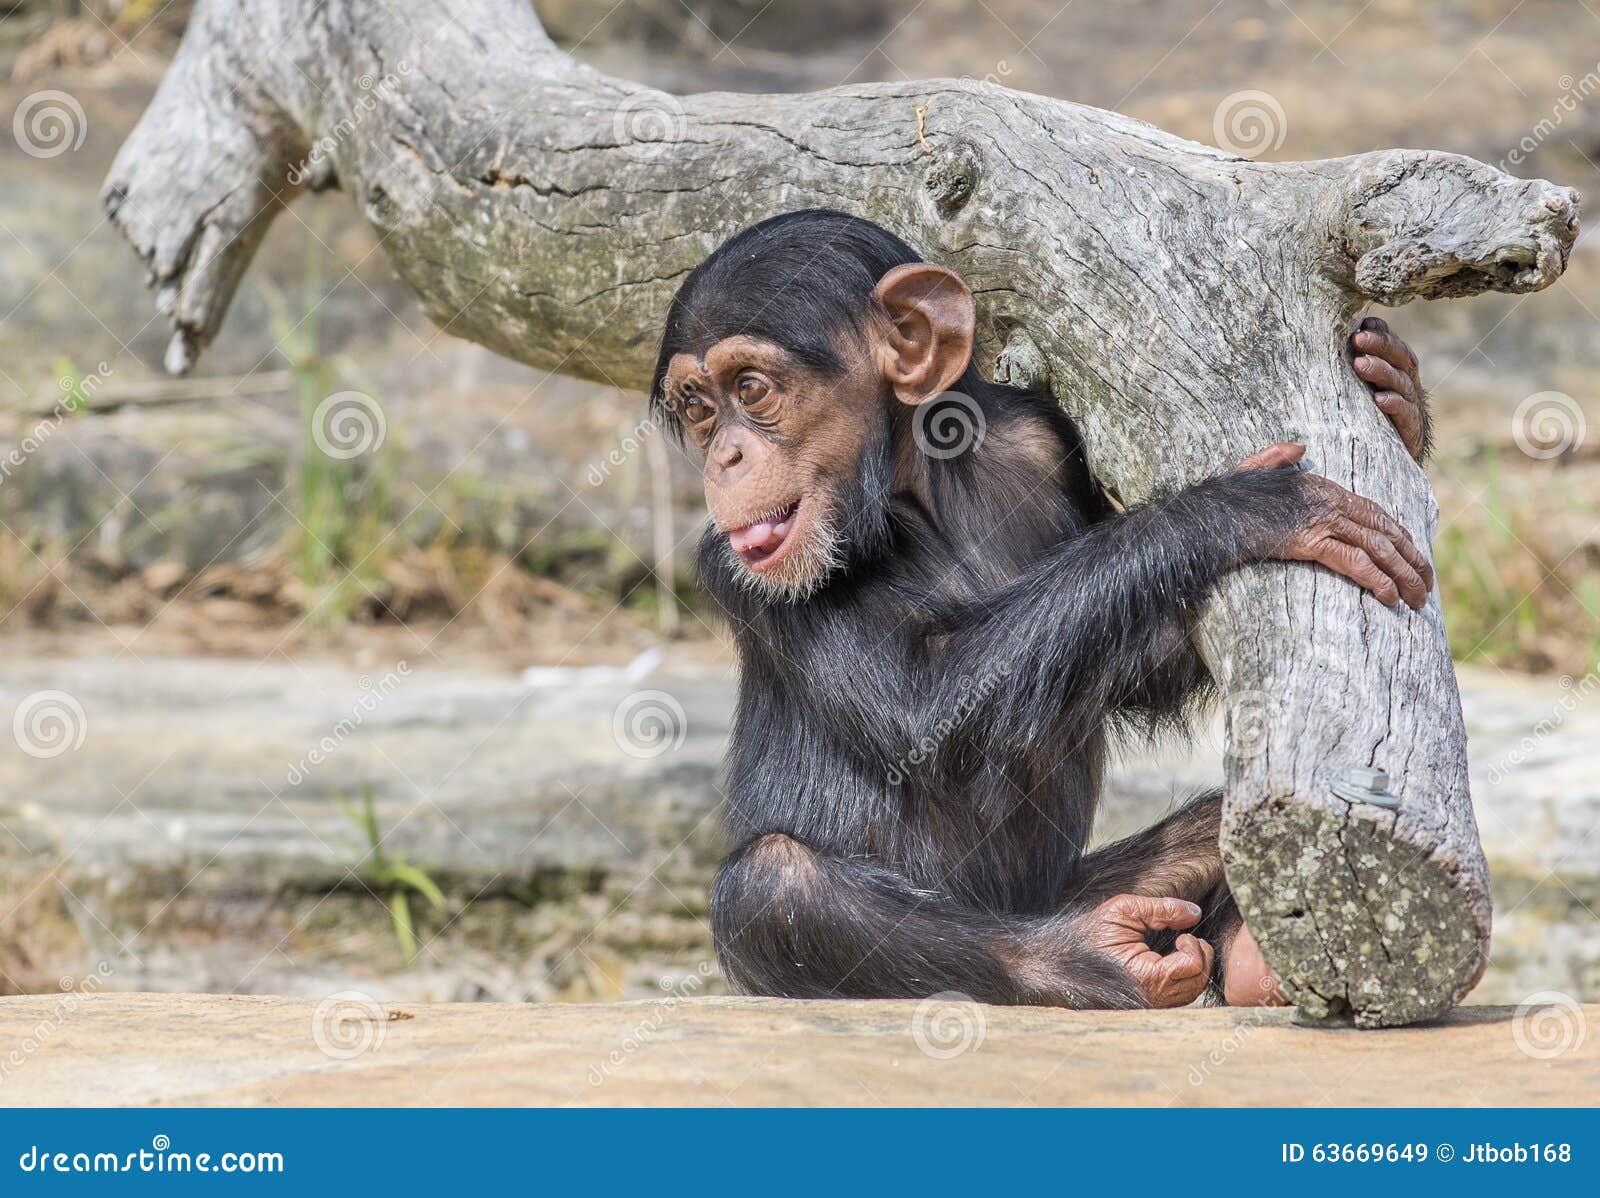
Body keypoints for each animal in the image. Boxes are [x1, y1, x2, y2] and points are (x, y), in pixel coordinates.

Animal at [650, 209, 1432, 1008]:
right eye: (700, 407)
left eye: (752, 389)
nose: (725, 457)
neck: (917, 490)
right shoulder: (736, 569)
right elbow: (923, 702)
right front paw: (1234, 509)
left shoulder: (1046, 443)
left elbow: (1141, 663)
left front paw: (1397, 395)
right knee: (773, 886)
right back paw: (1085, 958)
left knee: (1213, 824)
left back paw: (1247, 957)